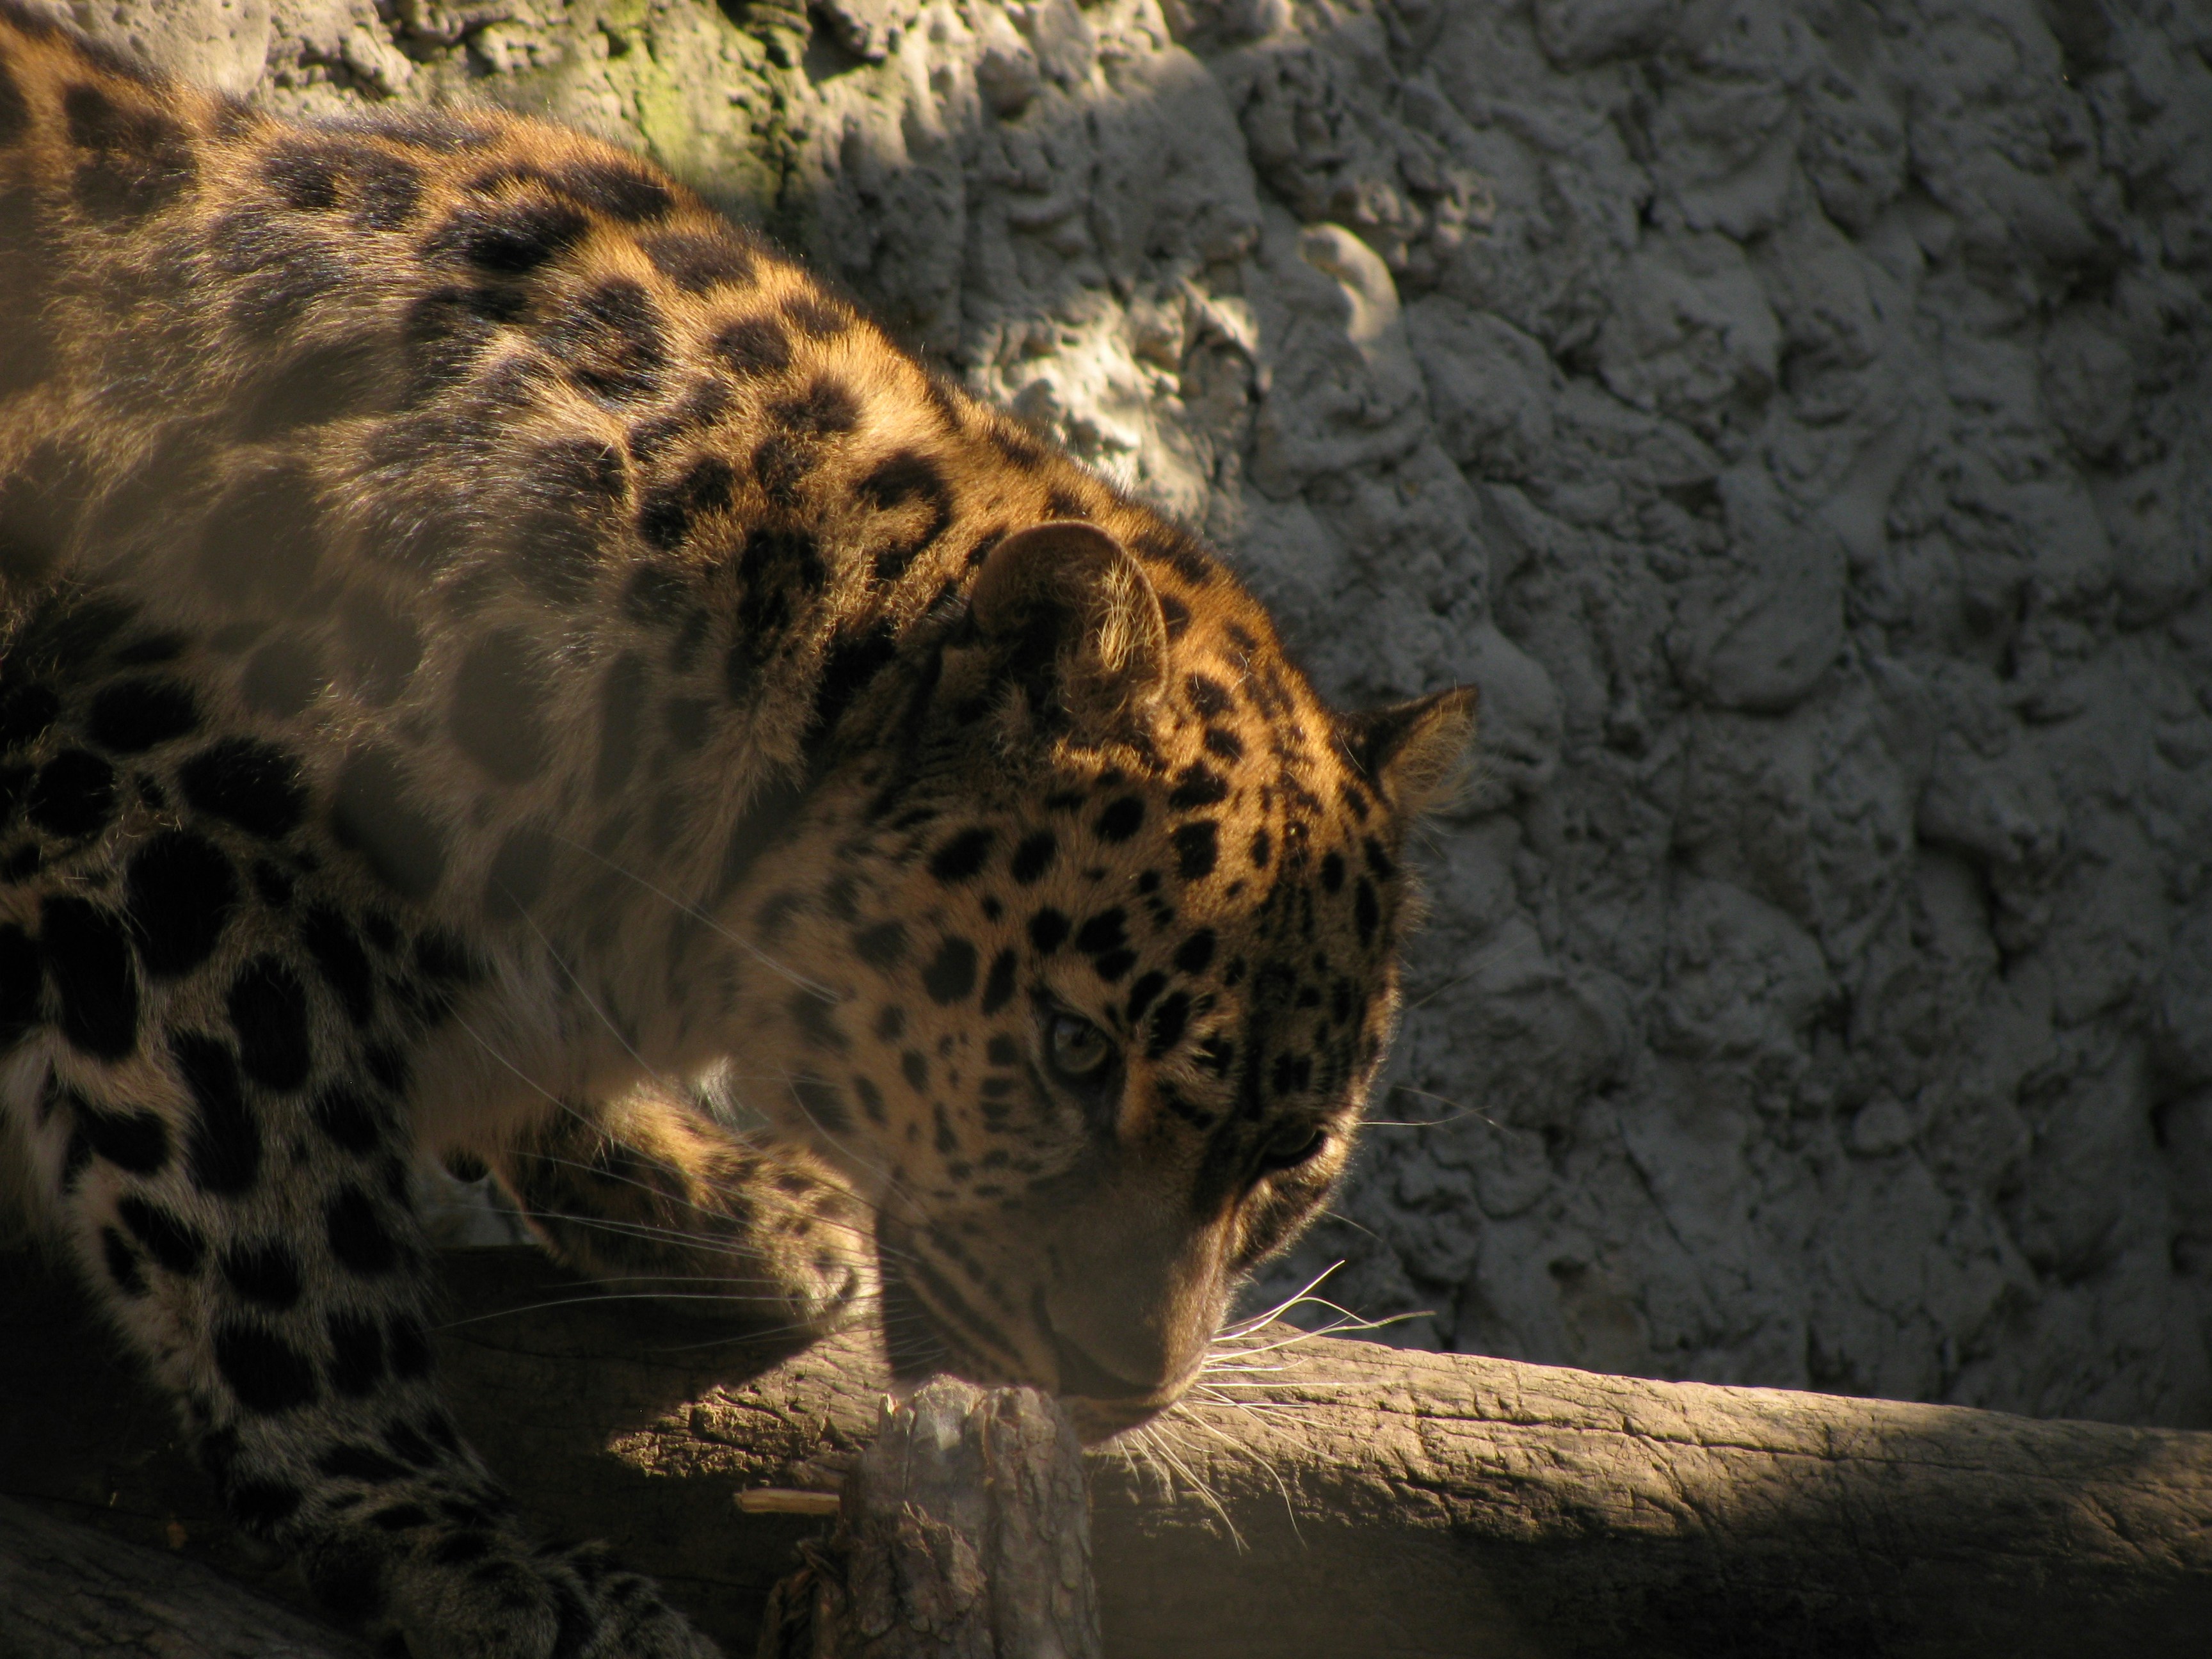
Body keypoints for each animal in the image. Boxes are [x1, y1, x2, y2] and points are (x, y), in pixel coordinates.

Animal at [0, 5, 1476, 1655]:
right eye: (1074, 1053)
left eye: (1287, 1157)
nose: (1120, 1389)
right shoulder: (157, 823)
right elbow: (277, 1230)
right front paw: (456, 1544)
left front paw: (730, 1201)